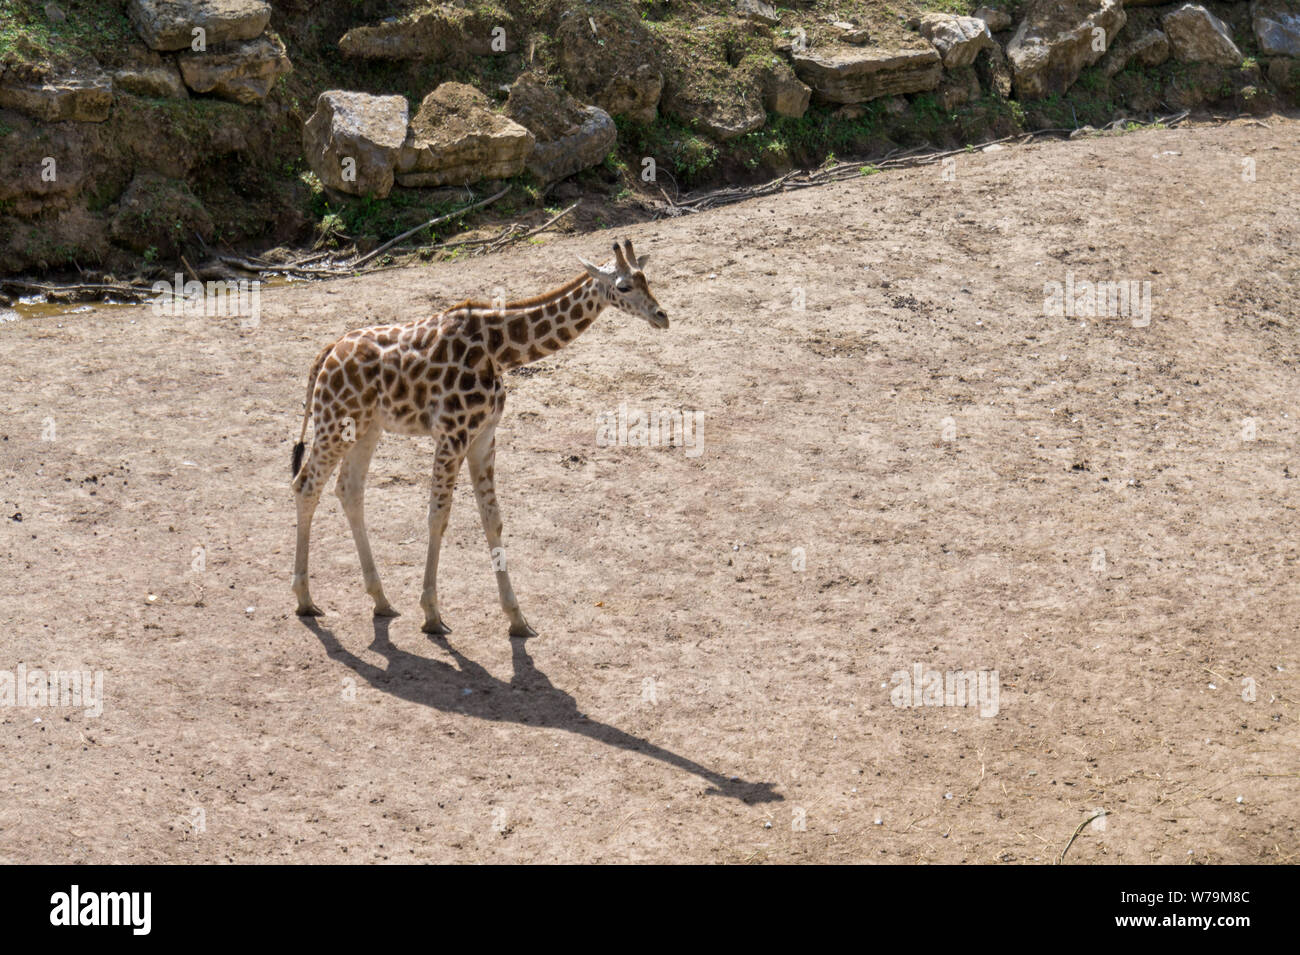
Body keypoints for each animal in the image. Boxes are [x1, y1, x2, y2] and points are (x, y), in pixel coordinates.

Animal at [290, 237, 669, 637]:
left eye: (646, 279)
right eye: (624, 286)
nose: (662, 316)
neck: (499, 349)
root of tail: (327, 353)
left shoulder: (484, 437)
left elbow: (492, 519)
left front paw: (517, 618)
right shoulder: (452, 435)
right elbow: (438, 517)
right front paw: (432, 614)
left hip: (365, 428)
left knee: (349, 490)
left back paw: (380, 599)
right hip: (335, 422)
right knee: (306, 485)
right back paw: (305, 599)